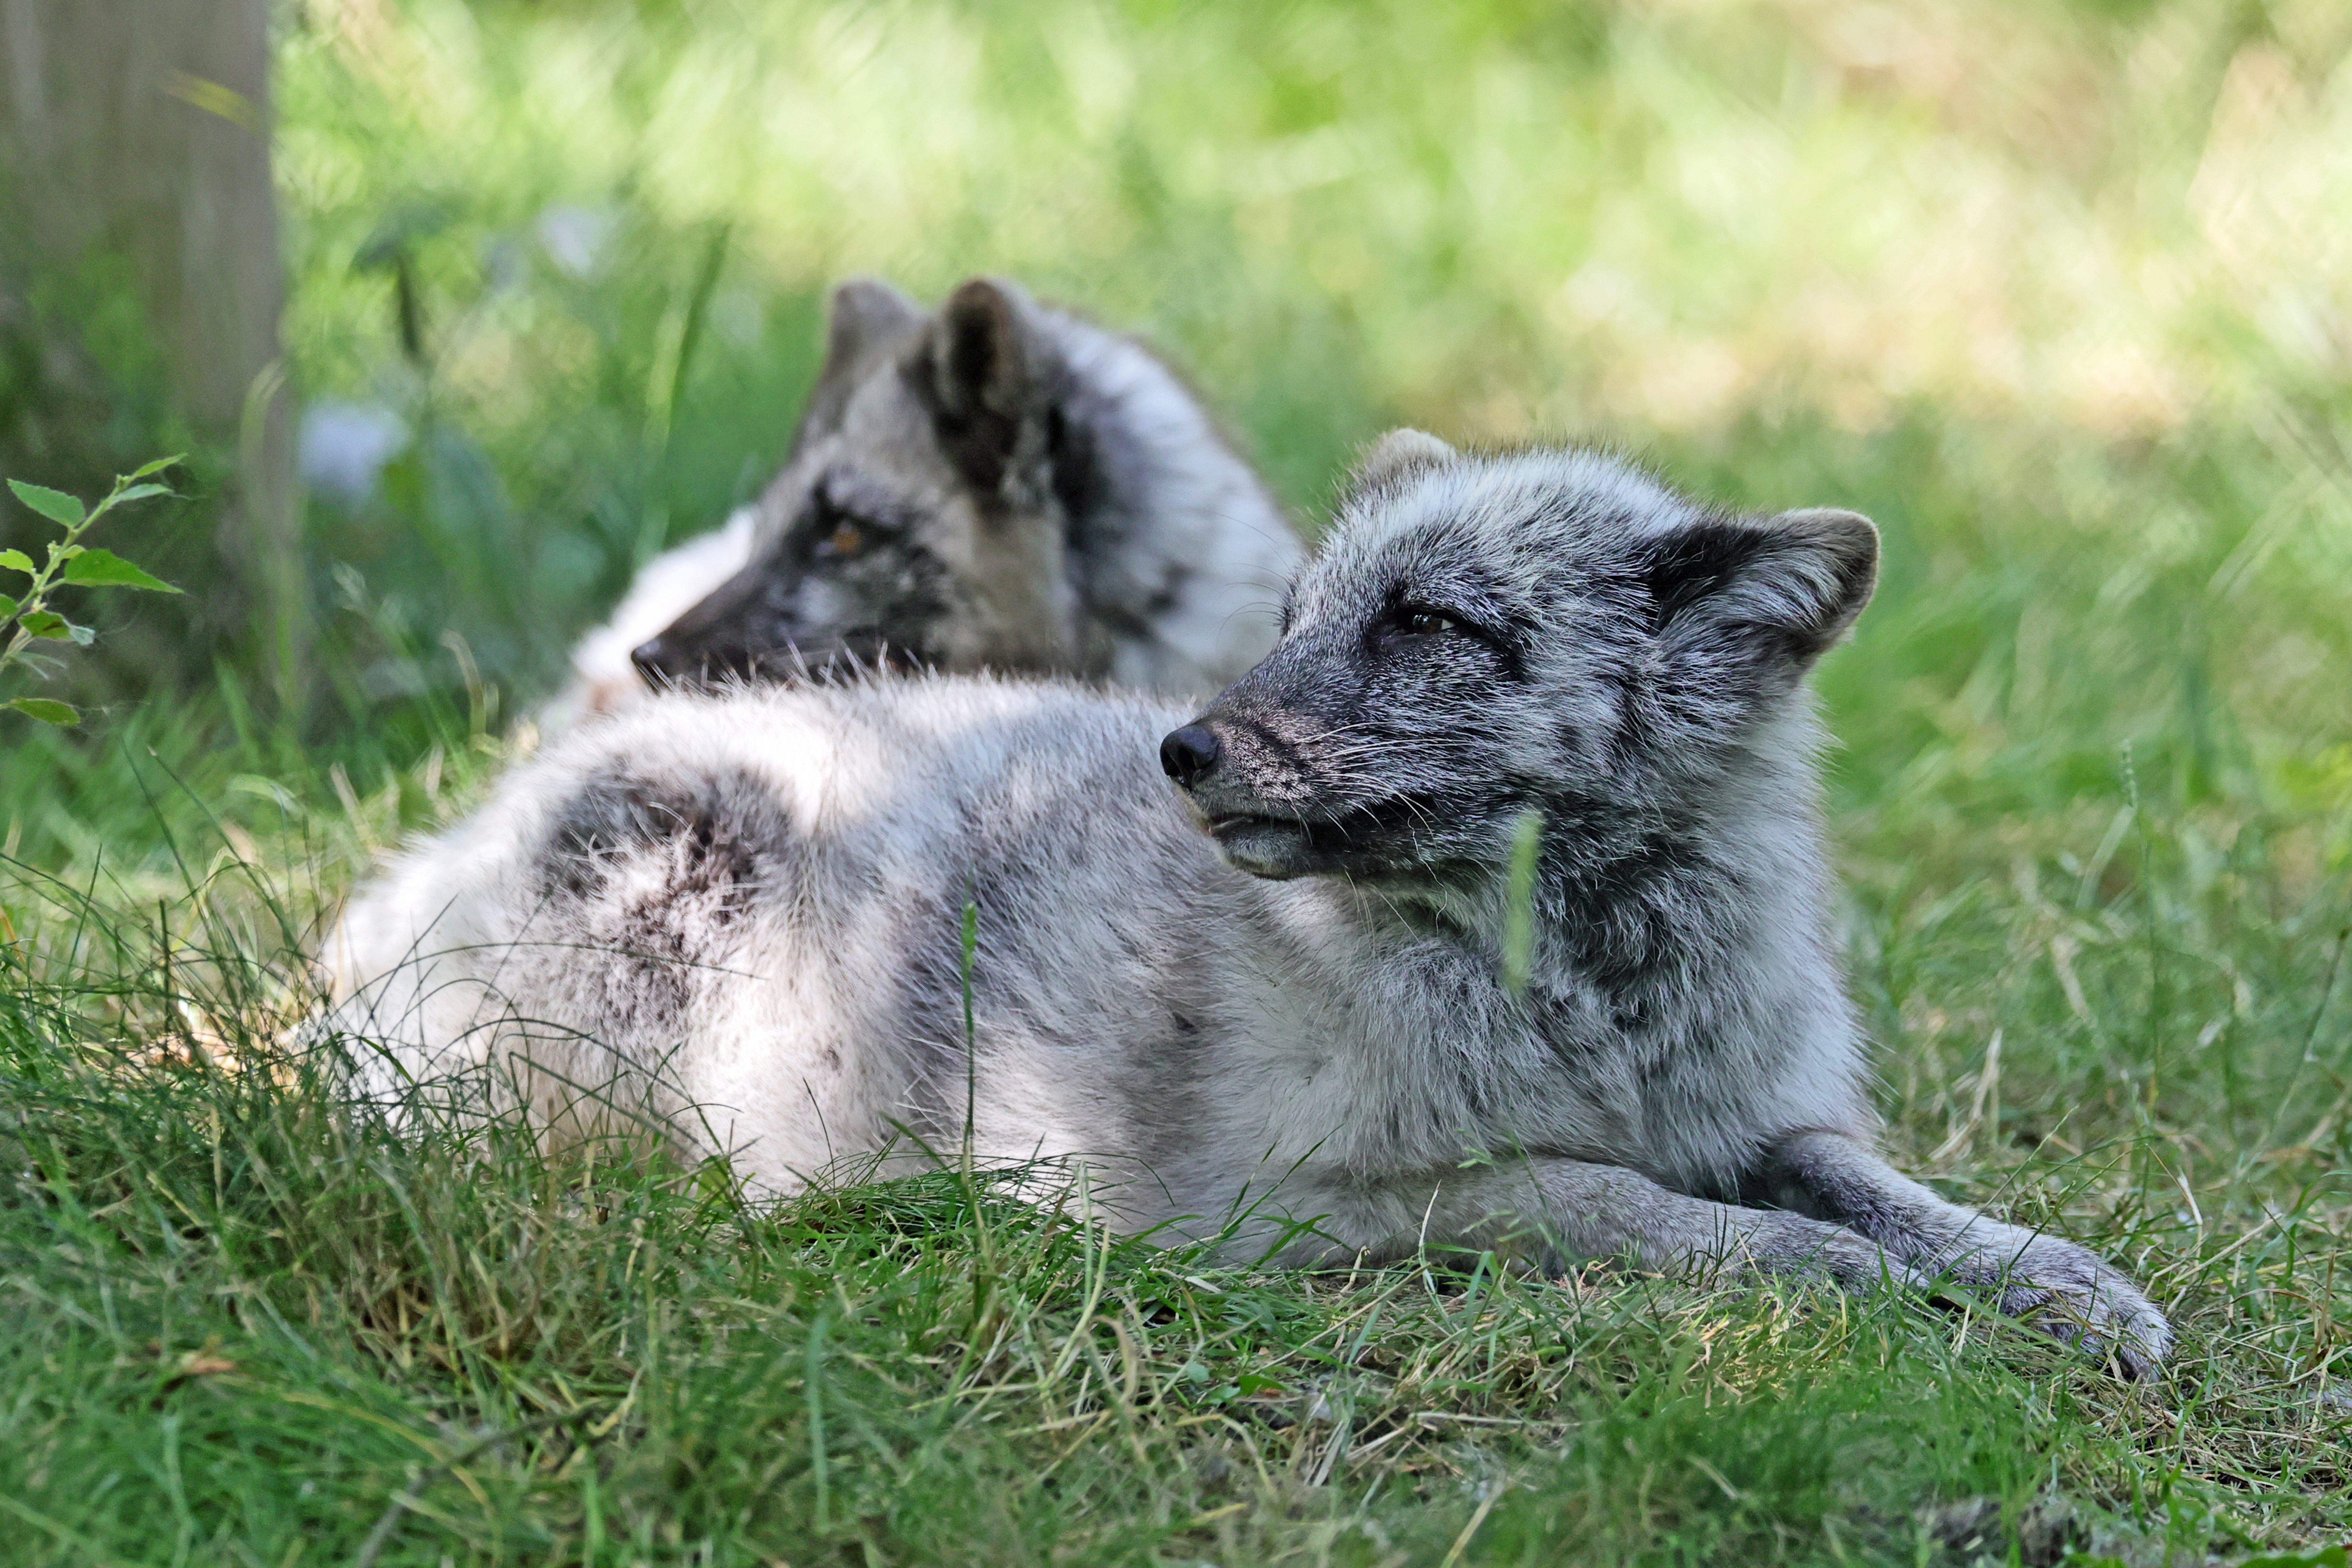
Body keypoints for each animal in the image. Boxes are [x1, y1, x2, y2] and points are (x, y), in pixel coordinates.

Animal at [330, 431, 2172, 1377]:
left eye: (1429, 624)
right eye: (1295, 616)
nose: (1187, 747)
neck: (1584, 998)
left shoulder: (1760, 1109)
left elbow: (1884, 1187)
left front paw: (2057, 1278)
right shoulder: (1301, 1210)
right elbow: (1639, 1207)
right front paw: (1843, 1280)